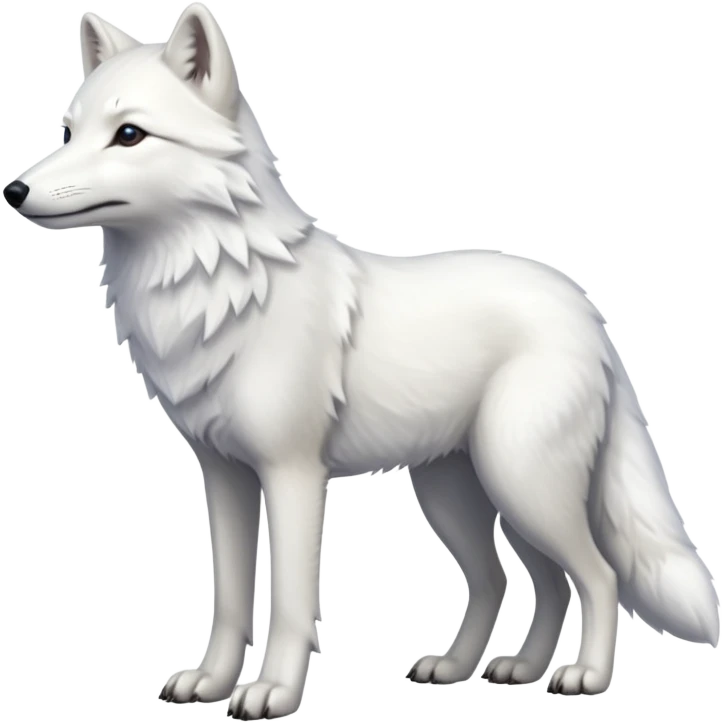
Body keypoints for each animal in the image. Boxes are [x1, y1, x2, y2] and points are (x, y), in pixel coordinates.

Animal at [3, 3, 719, 719]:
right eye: (68, 131)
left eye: (129, 135)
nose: (14, 190)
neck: (218, 287)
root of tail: (587, 311)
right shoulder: (223, 475)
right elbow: (230, 599)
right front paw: (210, 683)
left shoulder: (293, 476)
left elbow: (291, 602)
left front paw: (273, 693)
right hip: (467, 494)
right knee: (519, 581)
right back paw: (487, 668)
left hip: (522, 483)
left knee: (596, 575)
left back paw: (584, 677)